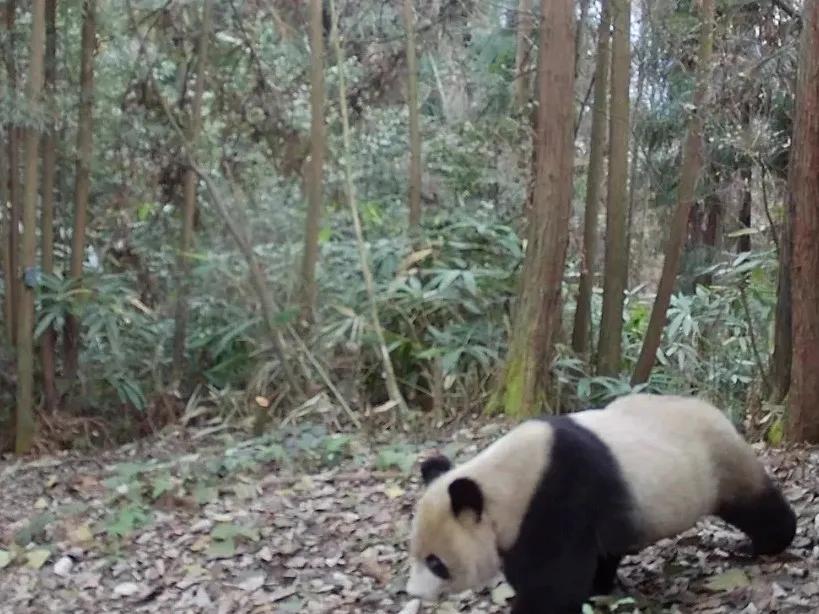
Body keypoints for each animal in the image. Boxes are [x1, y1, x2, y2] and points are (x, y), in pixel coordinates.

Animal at [405, 394, 797, 614]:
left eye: (435, 562)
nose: (413, 593)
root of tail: (714, 409)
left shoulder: (556, 495)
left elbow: (552, 585)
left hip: (718, 464)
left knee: (756, 505)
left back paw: (764, 544)